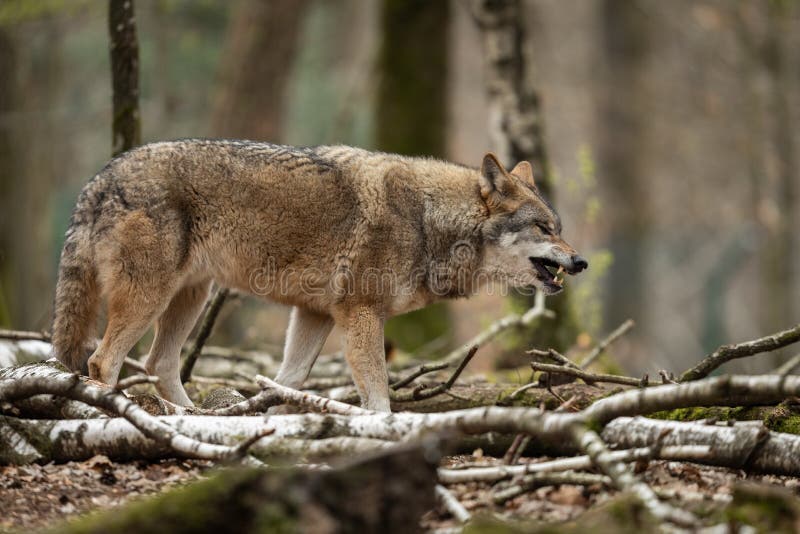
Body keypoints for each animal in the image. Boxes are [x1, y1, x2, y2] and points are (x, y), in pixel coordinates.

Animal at [52, 139, 587, 411]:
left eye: (560, 229)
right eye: (543, 228)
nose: (580, 261)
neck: (428, 219)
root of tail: (100, 177)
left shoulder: (315, 315)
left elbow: (285, 382)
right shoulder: (361, 314)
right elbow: (379, 395)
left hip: (191, 297)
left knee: (158, 364)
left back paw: (194, 421)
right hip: (153, 298)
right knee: (102, 361)